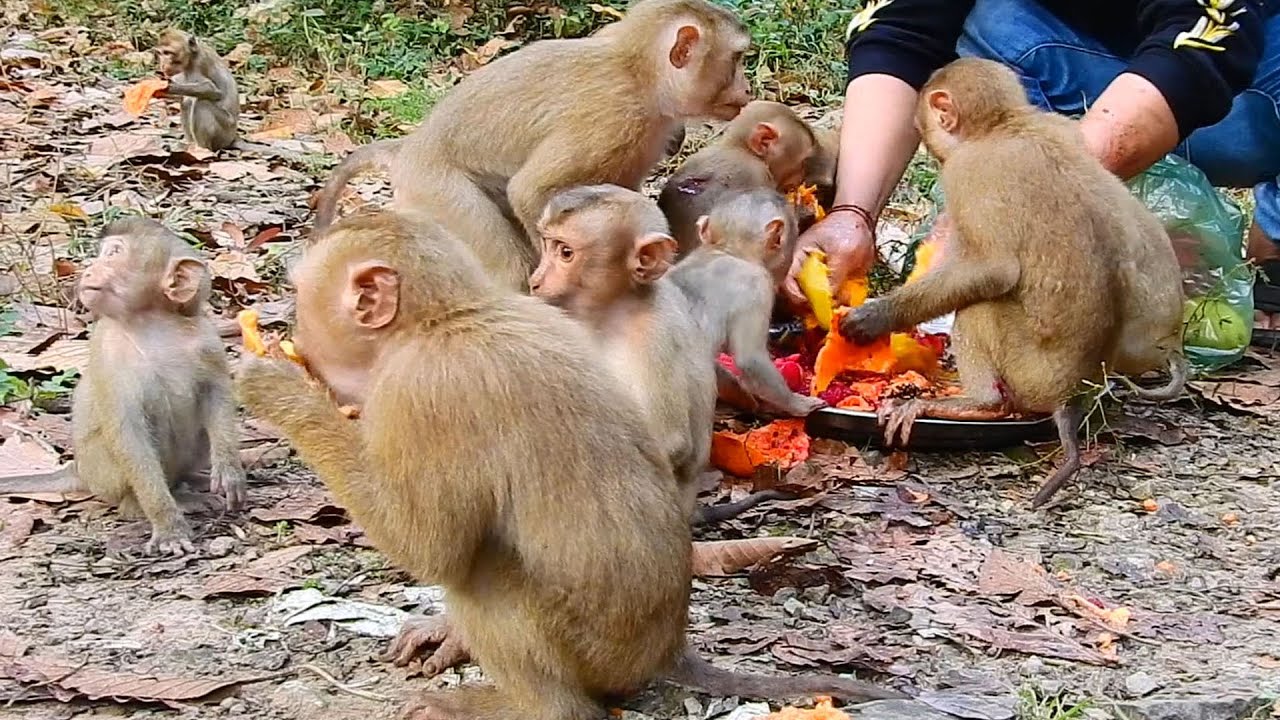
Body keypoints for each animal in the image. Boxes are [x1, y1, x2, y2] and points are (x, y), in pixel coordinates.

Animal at [72, 217, 245, 555]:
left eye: (113, 253)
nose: (87, 271)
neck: (152, 322)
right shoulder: (108, 355)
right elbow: (129, 433)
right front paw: (168, 527)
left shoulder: (206, 339)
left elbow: (216, 395)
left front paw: (229, 469)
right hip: (103, 473)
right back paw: (147, 504)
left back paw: (190, 482)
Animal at [310, 0, 753, 291]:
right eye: (735, 60)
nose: (747, 88)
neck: (641, 73)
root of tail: (410, 149)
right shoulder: (613, 120)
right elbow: (531, 191)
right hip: (436, 189)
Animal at [838, 58, 1184, 509]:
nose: (928, 145)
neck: (1006, 124)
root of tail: (1067, 396)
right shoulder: (1062, 127)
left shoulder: (965, 172)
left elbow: (993, 270)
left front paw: (874, 317)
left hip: (1028, 372)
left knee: (981, 307)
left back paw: (980, 404)